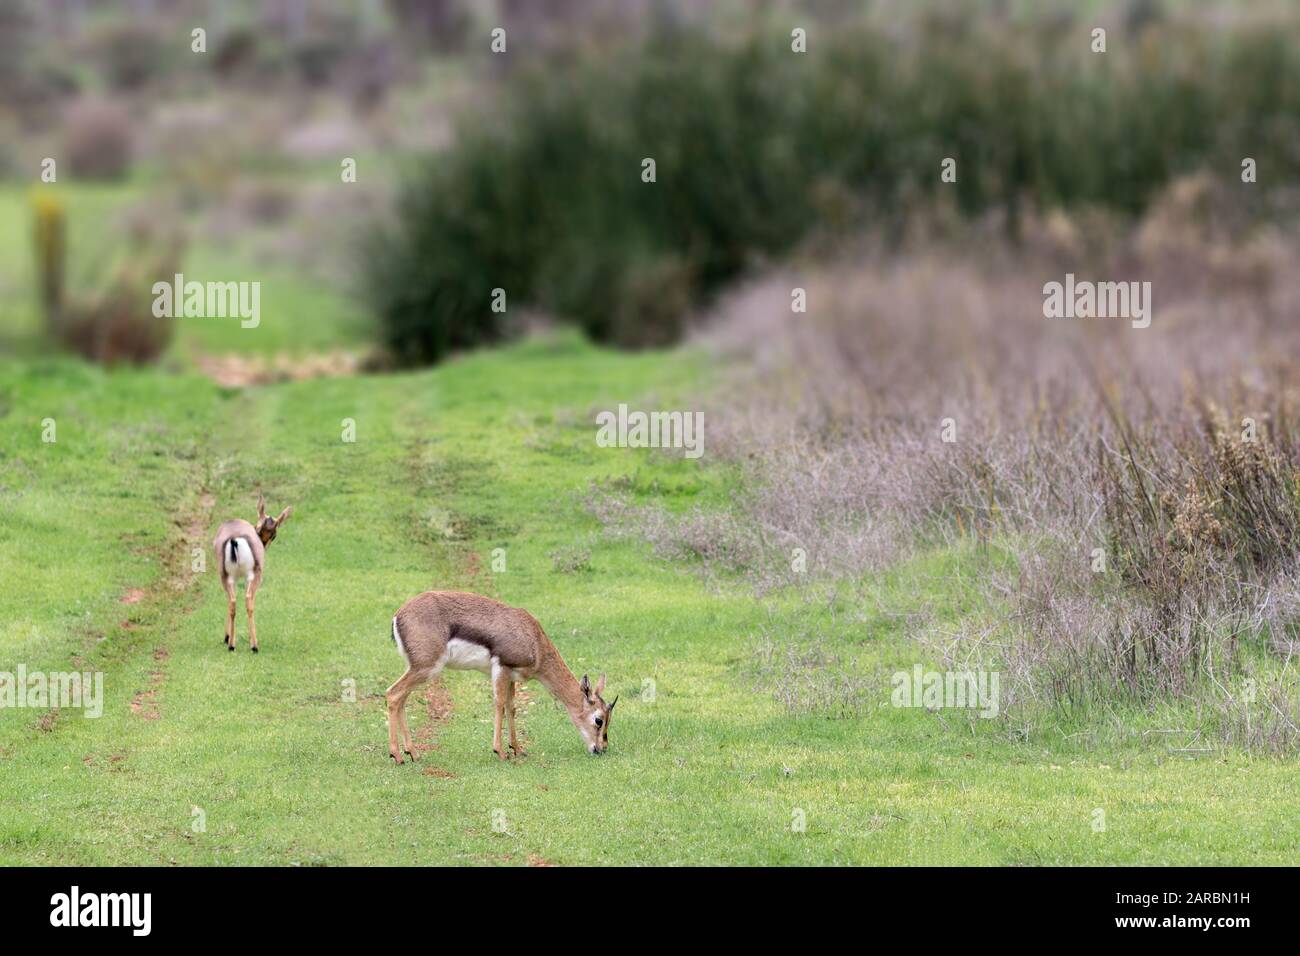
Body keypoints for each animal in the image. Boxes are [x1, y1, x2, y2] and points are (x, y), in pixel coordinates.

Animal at [213, 494, 291, 653]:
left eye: (273, 534)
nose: (264, 543)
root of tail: (235, 539)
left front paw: (228, 637)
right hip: (254, 576)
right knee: (248, 600)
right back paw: (254, 646)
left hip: (227, 577)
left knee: (233, 602)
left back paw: (232, 645)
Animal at [385, 591, 617, 763]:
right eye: (598, 720)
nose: (601, 748)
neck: (535, 642)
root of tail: (398, 615)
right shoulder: (501, 668)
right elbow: (499, 704)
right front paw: (500, 751)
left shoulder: (513, 676)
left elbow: (511, 707)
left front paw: (517, 748)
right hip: (426, 668)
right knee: (393, 694)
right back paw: (397, 755)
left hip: (416, 669)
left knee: (402, 699)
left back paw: (412, 753)